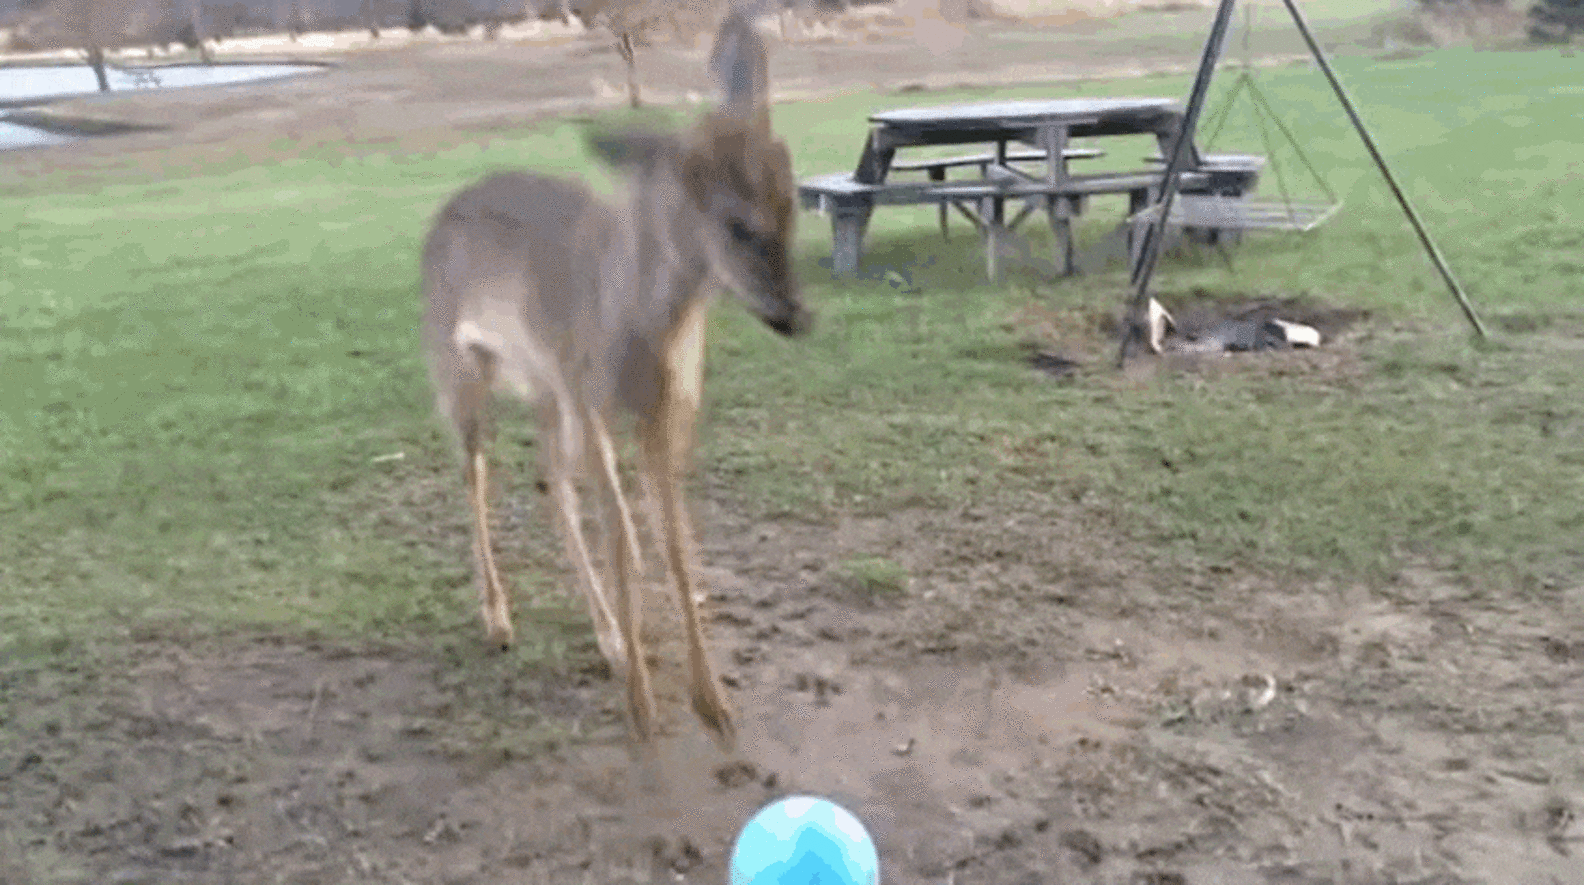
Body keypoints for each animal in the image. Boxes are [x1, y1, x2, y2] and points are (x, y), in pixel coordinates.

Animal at [420, 7, 810, 751]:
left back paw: (608, 639)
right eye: (734, 223)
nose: (795, 315)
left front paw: (713, 703)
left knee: (553, 489)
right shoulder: (593, 399)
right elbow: (624, 538)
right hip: (458, 369)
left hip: (544, 387)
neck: (641, 328)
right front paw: (642, 710)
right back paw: (501, 622)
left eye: (792, 202)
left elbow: (674, 541)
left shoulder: (663, 408)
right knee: (475, 476)